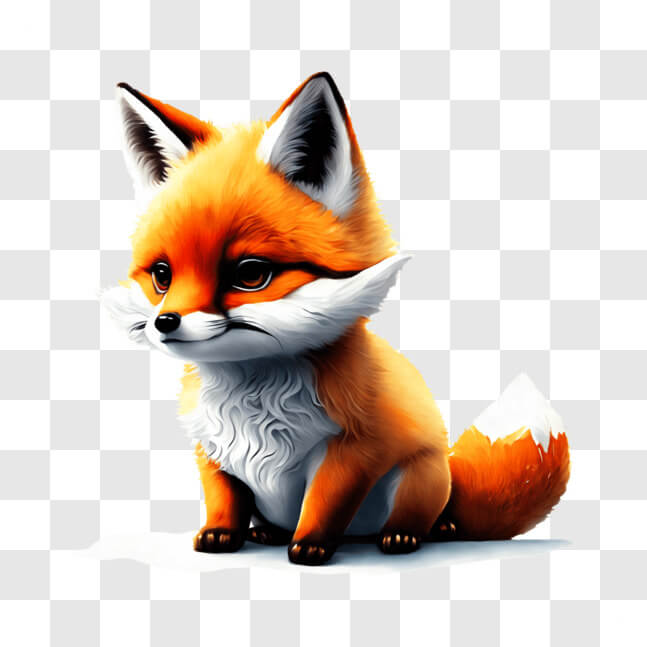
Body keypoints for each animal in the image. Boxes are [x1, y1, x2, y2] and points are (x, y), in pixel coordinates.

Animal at [102, 72, 570, 565]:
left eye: (250, 274)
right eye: (162, 276)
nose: (165, 322)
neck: (253, 400)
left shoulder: (352, 450)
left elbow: (324, 504)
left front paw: (310, 545)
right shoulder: (211, 449)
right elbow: (223, 499)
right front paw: (220, 533)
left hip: (420, 475)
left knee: (420, 519)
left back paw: (410, 535)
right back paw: (268, 532)